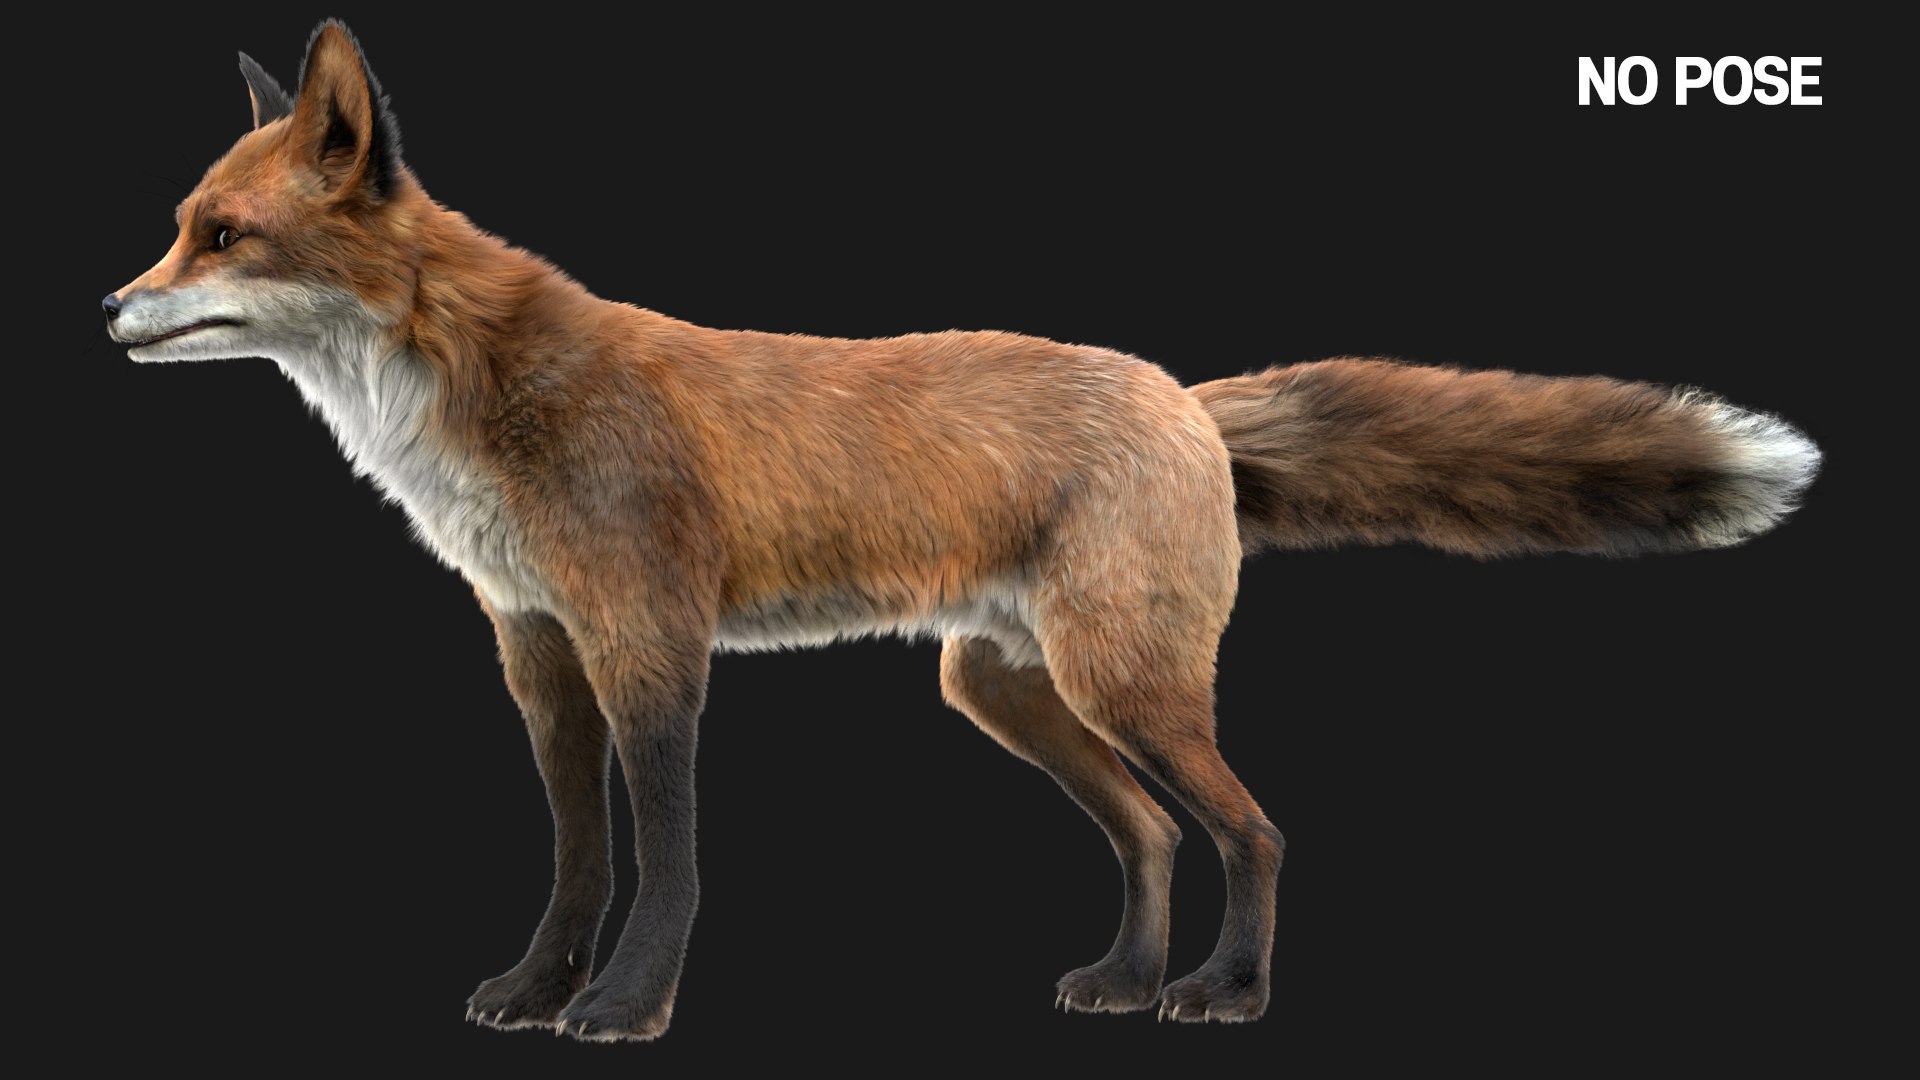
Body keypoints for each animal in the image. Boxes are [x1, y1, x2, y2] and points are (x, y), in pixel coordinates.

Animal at [105, 20, 1821, 1042]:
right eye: (180, 229)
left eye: (222, 236)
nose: (110, 310)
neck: (469, 401)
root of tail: (1181, 394)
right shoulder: (538, 650)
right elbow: (577, 858)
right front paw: (537, 988)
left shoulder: (652, 644)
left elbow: (665, 860)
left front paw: (632, 1007)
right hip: (1003, 690)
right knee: (1149, 834)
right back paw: (1126, 981)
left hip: (1127, 683)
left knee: (1256, 828)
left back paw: (1225, 991)